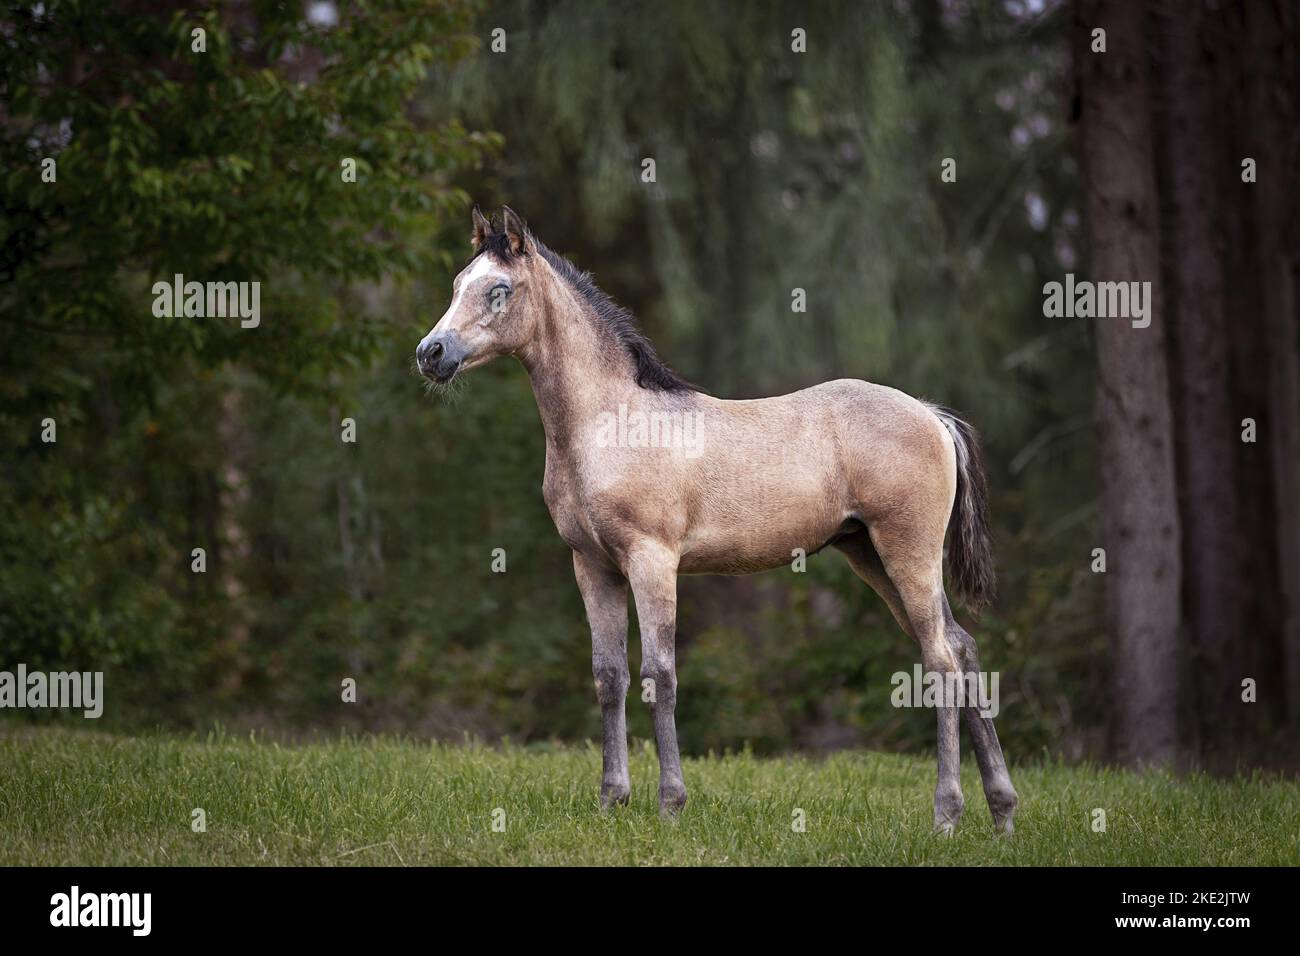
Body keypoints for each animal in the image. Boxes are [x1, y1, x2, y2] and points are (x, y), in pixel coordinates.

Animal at [416, 205, 1018, 834]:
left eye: (499, 290)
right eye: (458, 284)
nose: (430, 354)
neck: (613, 423)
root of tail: (931, 414)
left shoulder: (652, 561)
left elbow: (660, 674)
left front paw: (670, 804)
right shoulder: (593, 566)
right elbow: (610, 676)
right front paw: (612, 800)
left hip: (907, 552)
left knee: (940, 662)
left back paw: (947, 814)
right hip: (870, 555)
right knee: (962, 647)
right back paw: (1001, 813)